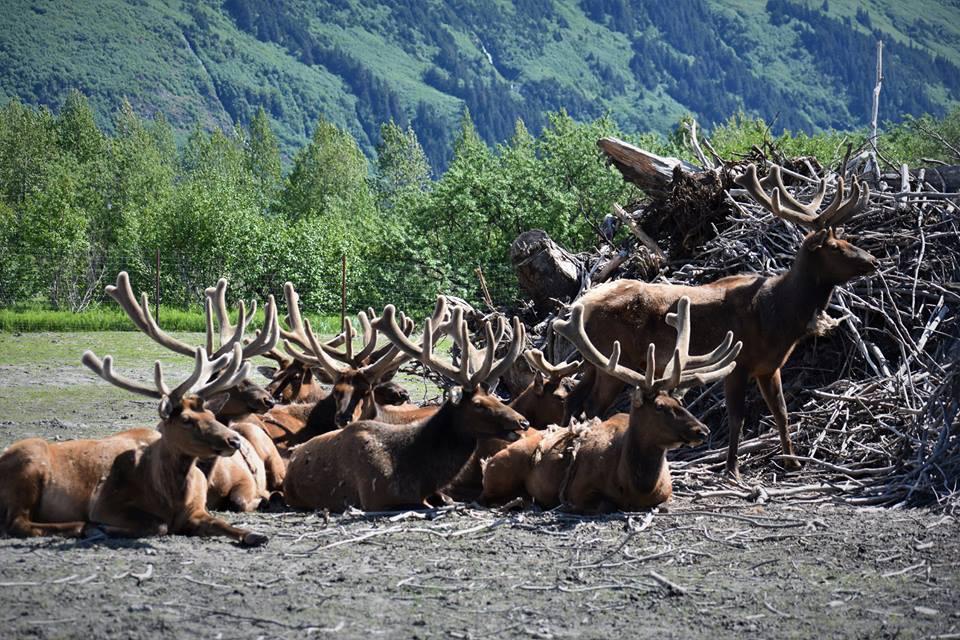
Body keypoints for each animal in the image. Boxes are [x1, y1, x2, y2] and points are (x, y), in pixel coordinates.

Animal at [0, 344, 268, 545]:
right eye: (186, 420)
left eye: (211, 415)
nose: (234, 440)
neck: (173, 496)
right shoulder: (106, 504)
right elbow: (159, 525)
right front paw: (104, 528)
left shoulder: (197, 510)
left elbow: (223, 523)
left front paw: (255, 535)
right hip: (27, 470)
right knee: (17, 523)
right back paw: (85, 527)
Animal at [481, 297, 740, 511]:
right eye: (659, 406)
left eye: (679, 401)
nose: (702, 430)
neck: (638, 485)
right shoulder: (578, 491)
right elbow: (603, 503)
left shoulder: (666, 493)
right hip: (501, 467)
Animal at [563, 163, 877, 478]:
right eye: (834, 247)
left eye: (846, 239)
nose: (872, 259)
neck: (779, 316)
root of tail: (581, 304)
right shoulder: (739, 363)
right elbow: (737, 417)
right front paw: (732, 468)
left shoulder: (769, 366)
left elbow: (782, 412)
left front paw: (793, 461)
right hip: (615, 359)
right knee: (592, 405)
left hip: (593, 362)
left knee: (573, 400)